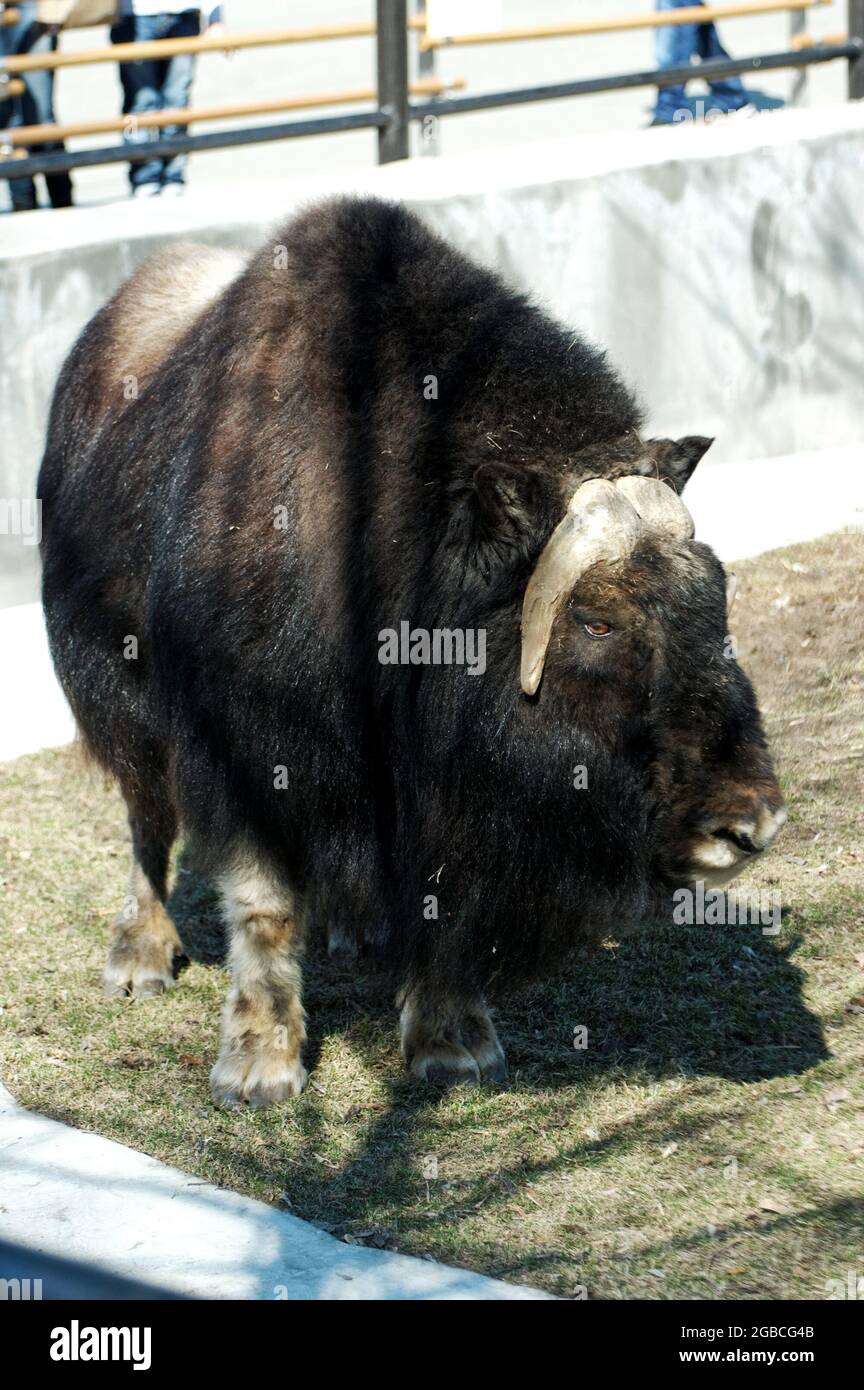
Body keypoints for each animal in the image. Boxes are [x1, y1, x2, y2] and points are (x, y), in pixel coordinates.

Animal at [38, 197, 786, 1107]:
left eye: (715, 592)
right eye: (597, 621)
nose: (753, 824)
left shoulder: (436, 781)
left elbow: (443, 896)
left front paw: (453, 1044)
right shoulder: (243, 744)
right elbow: (261, 901)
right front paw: (260, 1067)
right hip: (118, 700)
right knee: (147, 818)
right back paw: (139, 958)